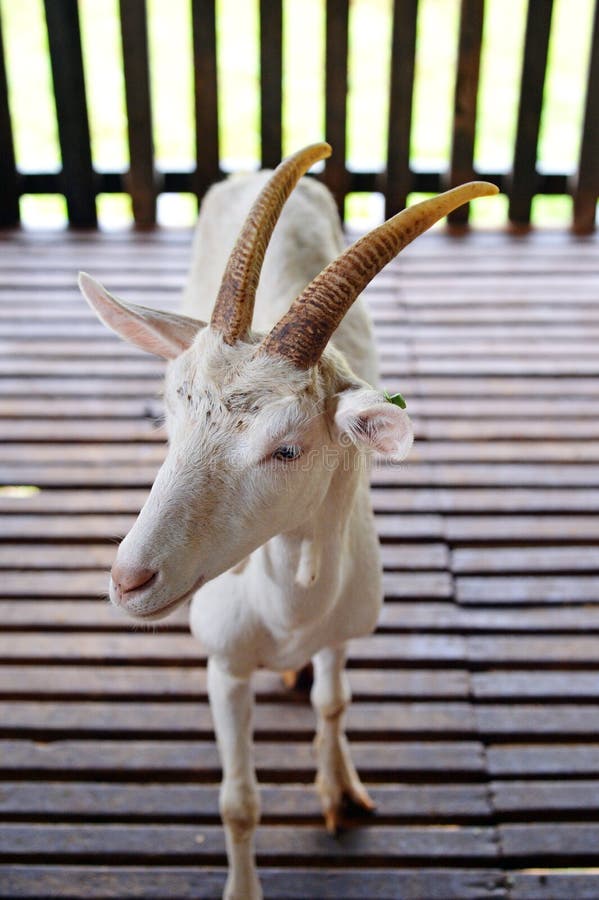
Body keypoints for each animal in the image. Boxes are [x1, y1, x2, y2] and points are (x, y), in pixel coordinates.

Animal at [78, 143, 497, 900]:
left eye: (287, 448)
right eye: (170, 413)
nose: (130, 580)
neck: (289, 615)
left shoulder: (342, 631)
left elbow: (334, 702)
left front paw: (340, 793)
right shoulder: (224, 666)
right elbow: (239, 803)